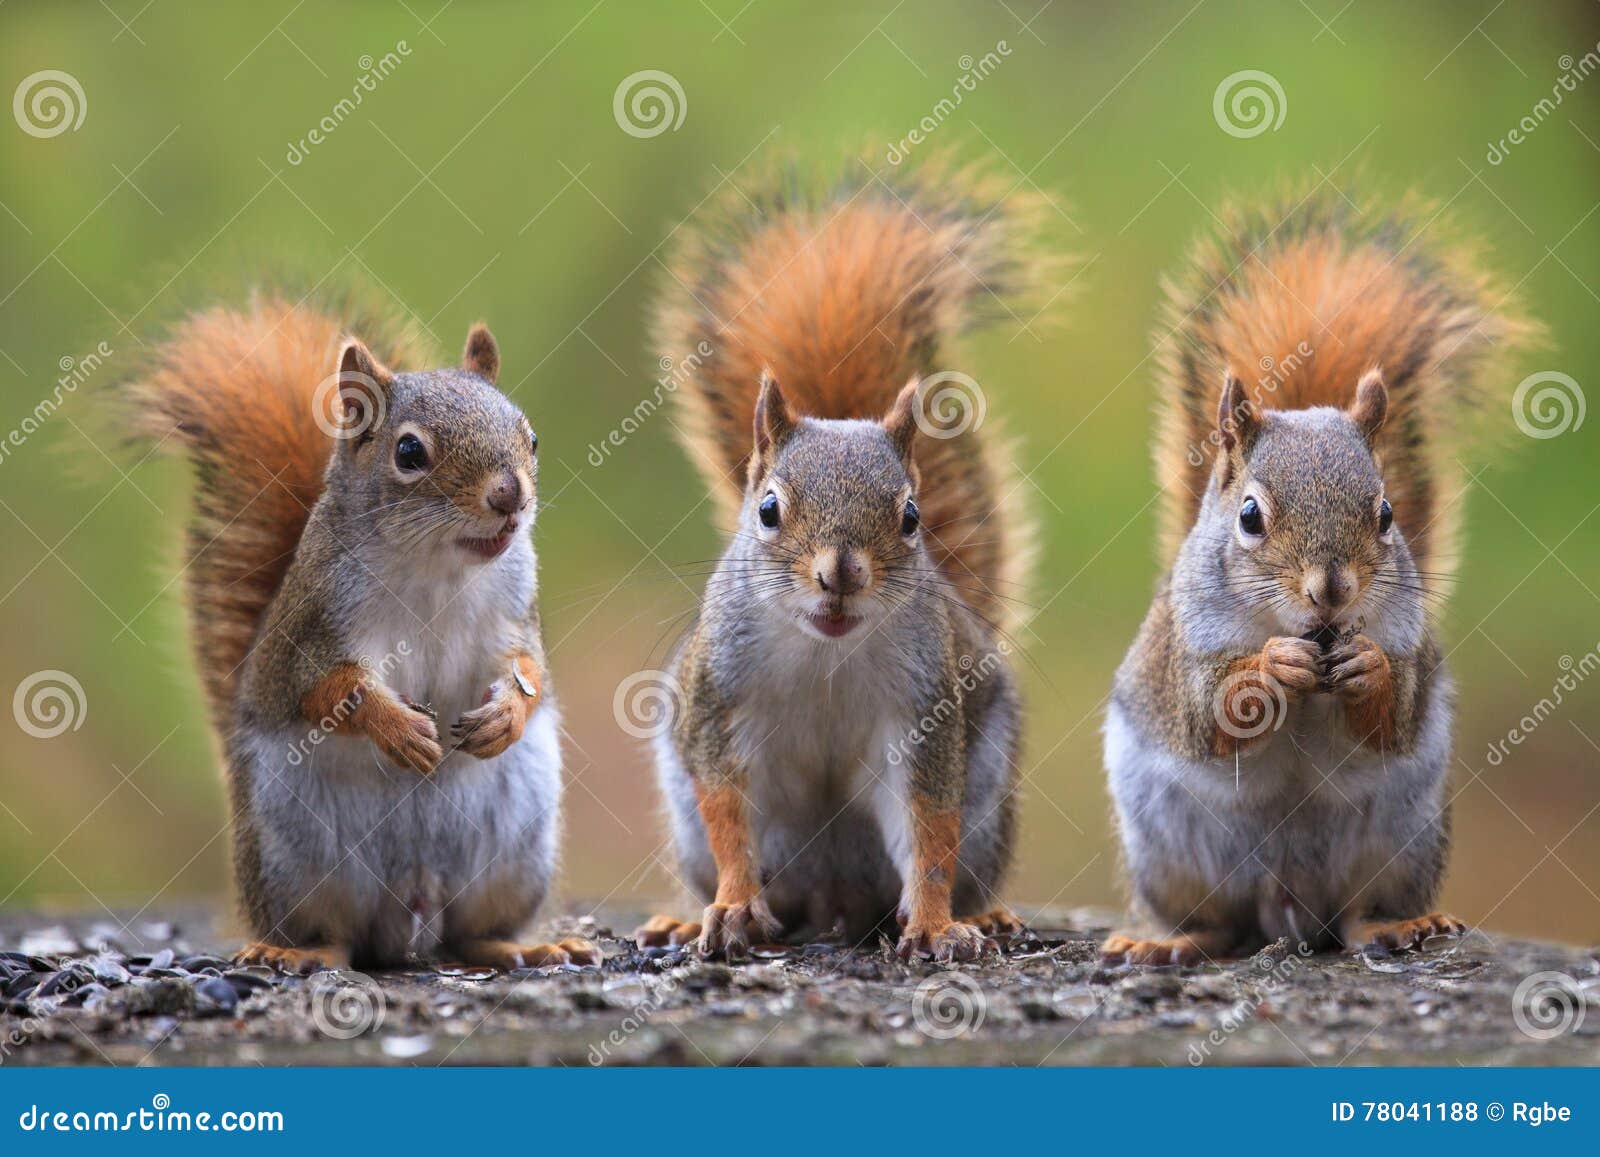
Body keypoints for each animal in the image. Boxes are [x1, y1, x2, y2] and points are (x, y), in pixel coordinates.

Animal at [126, 290, 596, 973]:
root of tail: (413, 910)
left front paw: (505, 715)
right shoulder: (315, 630)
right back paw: (297, 951)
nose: (511, 496)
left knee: (472, 933)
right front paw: (396, 728)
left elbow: (530, 669)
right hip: (293, 858)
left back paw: (523, 944)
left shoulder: (514, 616)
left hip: (516, 853)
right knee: (337, 935)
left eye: (530, 437)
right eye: (409, 453)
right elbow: (324, 690)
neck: (439, 568)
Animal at [633, 159, 1050, 962]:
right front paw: (733, 907)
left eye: (912, 518)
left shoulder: (922, 709)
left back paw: (983, 915)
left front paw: (935, 924)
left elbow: (929, 826)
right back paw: (689, 915)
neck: (824, 654)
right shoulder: (718, 704)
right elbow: (728, 814)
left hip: (989, 811)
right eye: (767, 509)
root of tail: (833, 900)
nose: (841, 572)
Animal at [1102, 188, 1536, 964]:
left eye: (1386, 512)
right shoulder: (1188, 652)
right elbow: (1210, 715)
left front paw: (1366, 667)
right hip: (1169, 852)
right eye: (1249, 515)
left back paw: (1397, 925)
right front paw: (1274, 665)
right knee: (1219, 922)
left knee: (1358, 912)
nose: (1332, 590)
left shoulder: (1409, 644)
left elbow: (1394, 714)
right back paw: (1172, 941)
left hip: (1402, 838)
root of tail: (1288, 902)